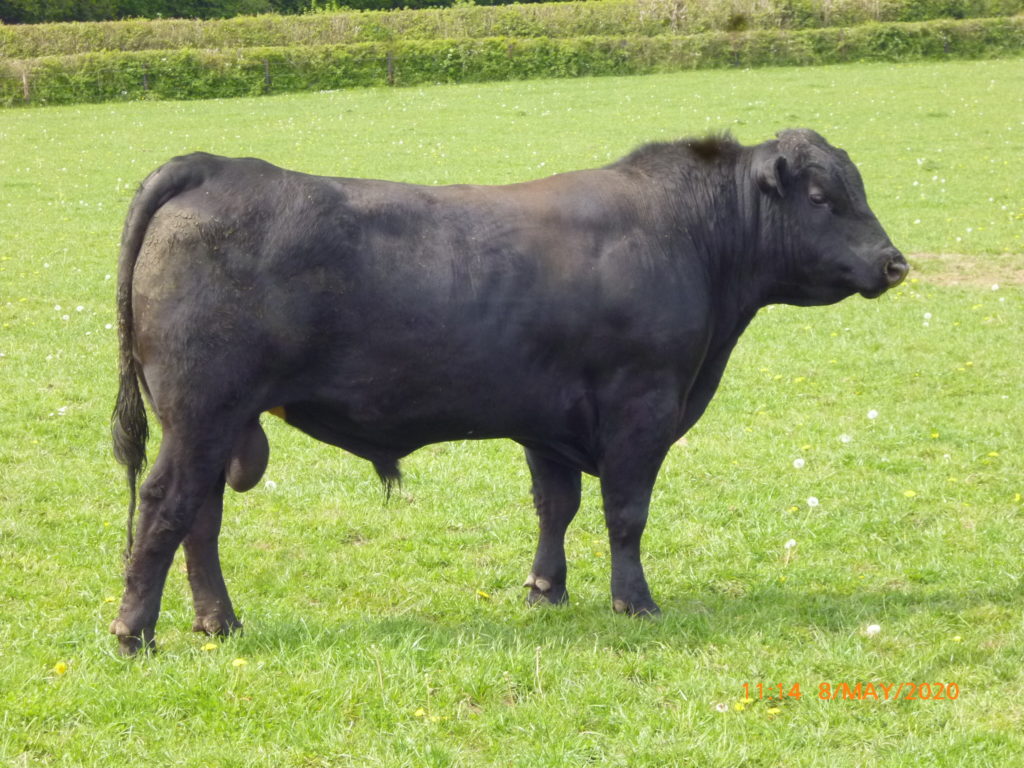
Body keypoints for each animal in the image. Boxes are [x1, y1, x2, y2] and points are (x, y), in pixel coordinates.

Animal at [109, 129, 907, 654]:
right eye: (820, 196)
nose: (894, 262)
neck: (691, 239)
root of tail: (215, 166)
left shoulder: (547, 418)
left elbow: (556, 506)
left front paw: (546, 589)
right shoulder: (641, 407)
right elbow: (626, 514)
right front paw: (635, 602)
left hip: (215, 423)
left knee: (201, 519)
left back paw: (219, 621)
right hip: (201, 413)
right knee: (167, 506)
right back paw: (134, 632)